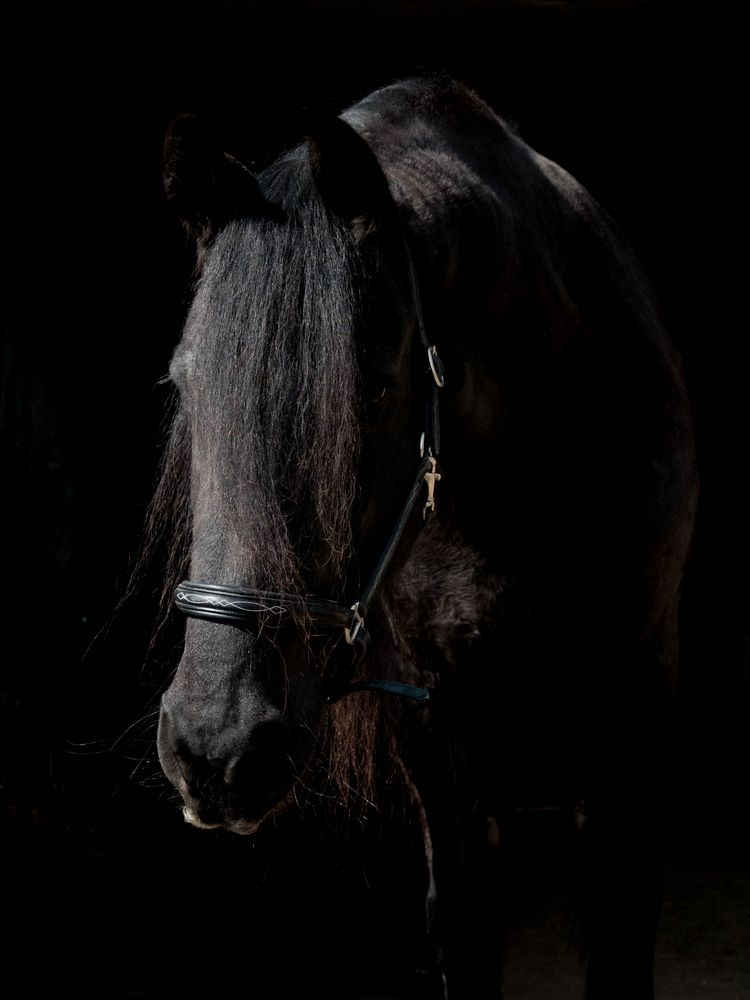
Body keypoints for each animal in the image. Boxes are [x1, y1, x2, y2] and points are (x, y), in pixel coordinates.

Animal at [149, 76, 698, 999]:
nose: (215, 749)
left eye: (370, 388)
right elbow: (463, 929)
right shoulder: (437, 730)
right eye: (184, 382)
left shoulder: (637, 717)